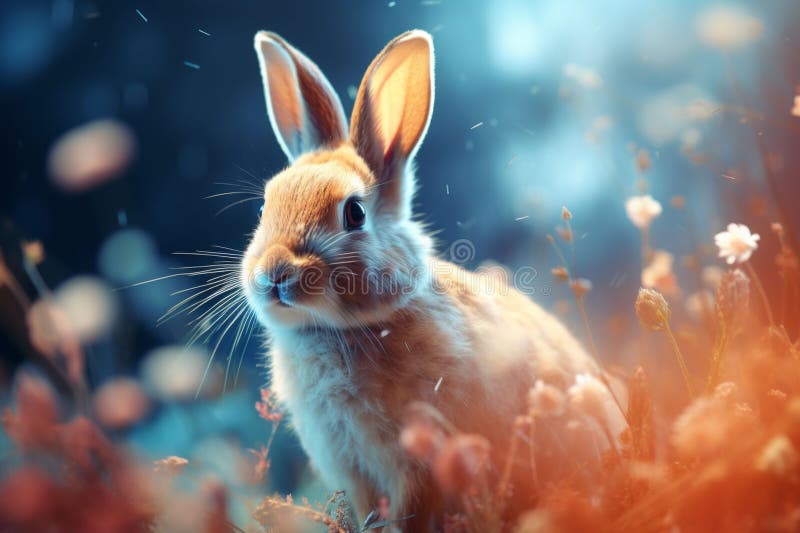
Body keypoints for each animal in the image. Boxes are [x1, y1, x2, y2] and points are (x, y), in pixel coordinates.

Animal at [241, 29, 622, 530]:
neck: (343, 328)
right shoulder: (353, 470)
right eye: (265, 205)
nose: (275, 273)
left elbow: (409, 513)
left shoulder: (418, 458)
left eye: (354, 213)